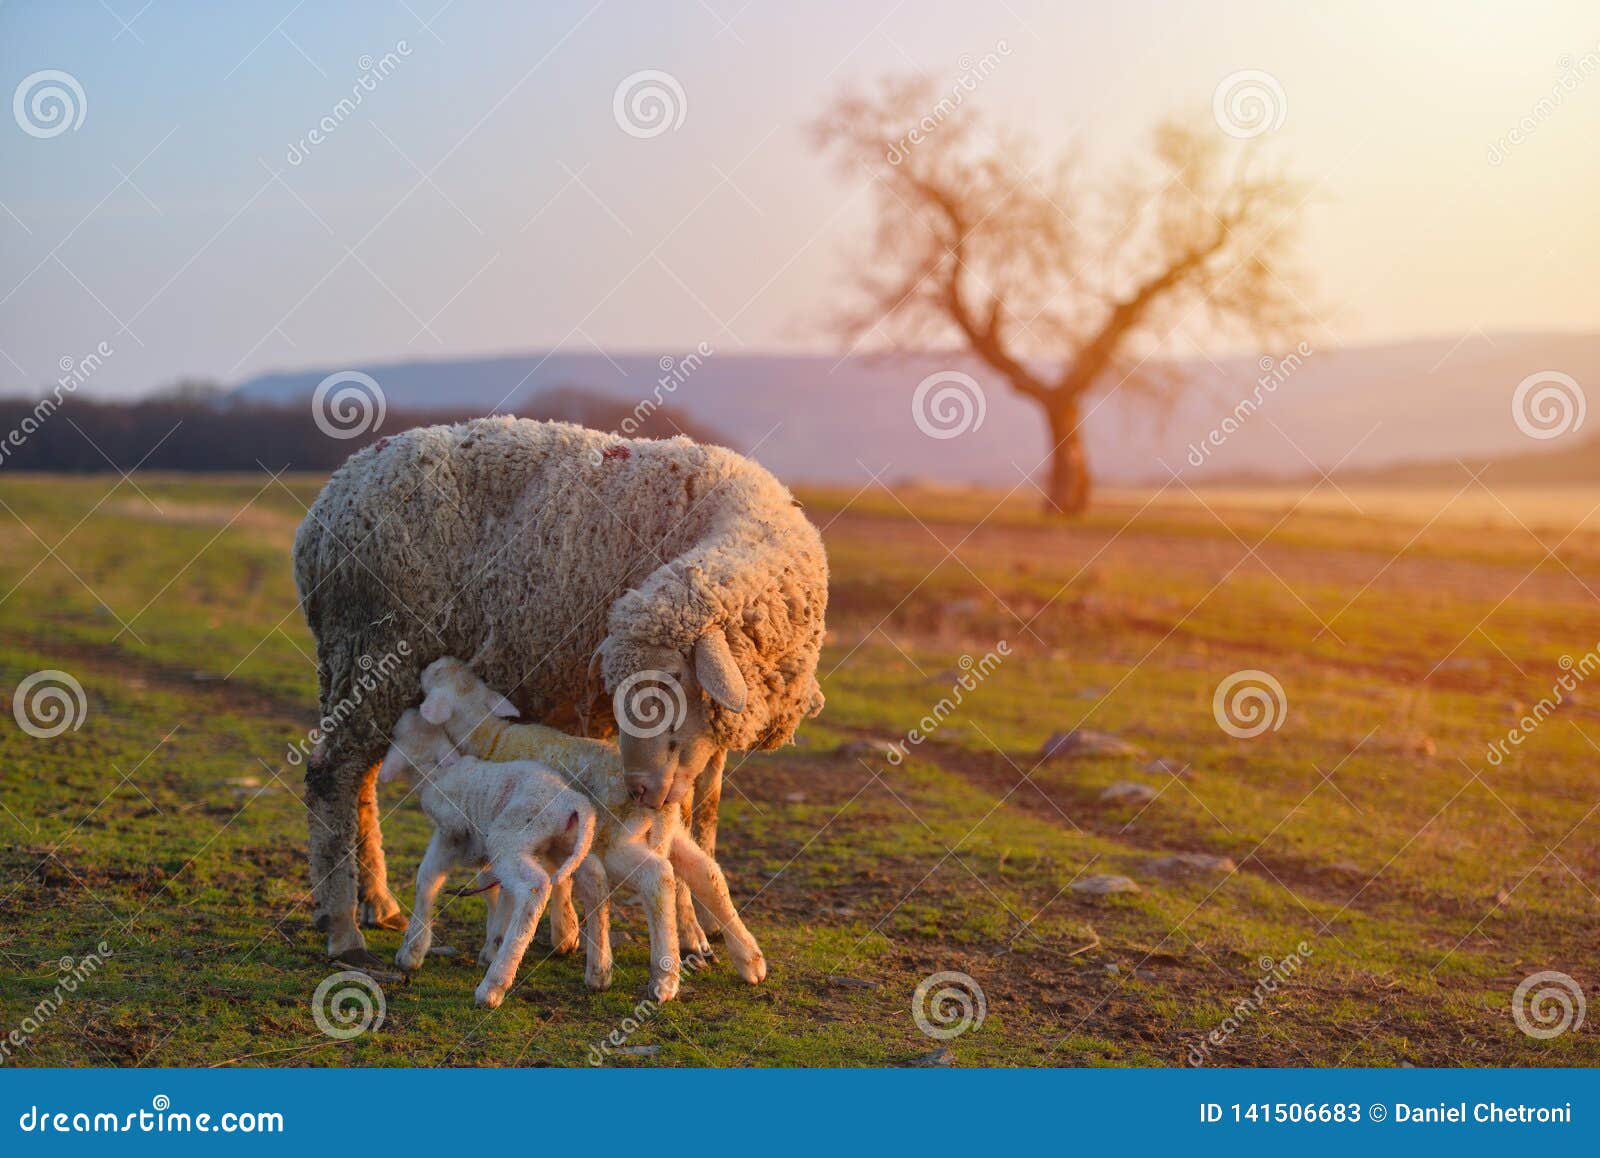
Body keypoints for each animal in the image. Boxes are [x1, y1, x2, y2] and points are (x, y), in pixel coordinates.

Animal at [292, 418, 827, 961]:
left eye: (676, 681)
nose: (639, 789)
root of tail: (331, 498)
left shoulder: (710, 740)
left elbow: (705, 819)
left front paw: (702, 927)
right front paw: (681, 931)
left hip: (363, 669)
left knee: (360, 780)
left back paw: (377, 902)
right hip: (372, 649)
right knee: (331, 775)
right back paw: (342, 926)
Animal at [376, 708, 603, 1008]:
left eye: (399, 732)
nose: (411, 710)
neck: (436, 771)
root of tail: (571, 801)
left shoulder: (450, 831)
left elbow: (427, 878)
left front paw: (411, 952)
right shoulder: (477, 848)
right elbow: (490, 887)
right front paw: (492, 939)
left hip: (510, 836)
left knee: (534, 887)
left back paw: (493, 987)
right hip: (565, 842)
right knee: (594, 875)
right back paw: (600, 971)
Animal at [418, 655, 768, 1001]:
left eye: (435, 675)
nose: (428, 666)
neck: (491, 737)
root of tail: (663, 798)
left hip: (617, 838)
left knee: (657, 878)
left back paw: (663, 979)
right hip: (670, 833)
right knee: (706, 872)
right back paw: (750, 961)